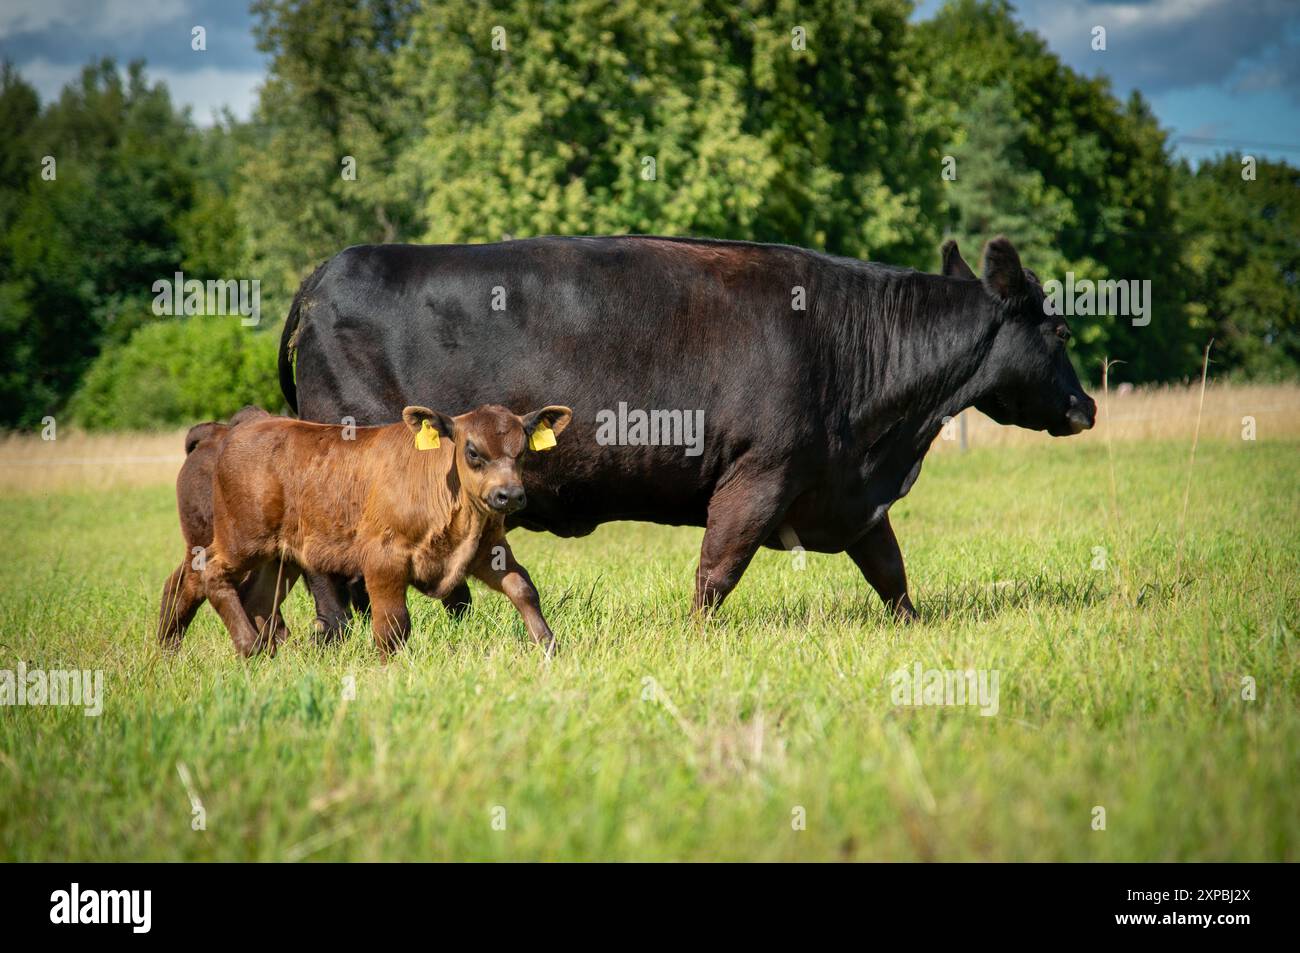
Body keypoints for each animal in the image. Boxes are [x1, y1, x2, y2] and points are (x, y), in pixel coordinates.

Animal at [202, 402, 572, 658]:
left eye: (522, 452)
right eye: (473, 452)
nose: (509, 495)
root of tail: (253, 423)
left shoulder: (488, 550)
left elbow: (523, 589)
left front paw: (548, 645)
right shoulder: (383, 558)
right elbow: (392, 623)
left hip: (280, 555)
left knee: (259, 600)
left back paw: (267, 656)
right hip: (241, 539)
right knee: (210, 573)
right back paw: (249, 647)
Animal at [278, 234, 1095, 629]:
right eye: (1059, 328)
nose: (1087, 405)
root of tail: (322, 275)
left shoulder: (845, 490)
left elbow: (890, 573)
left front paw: (917, 629)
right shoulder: (761, 472)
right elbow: (717, 570)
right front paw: (692, 638)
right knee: (326, 567)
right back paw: (339, 636)